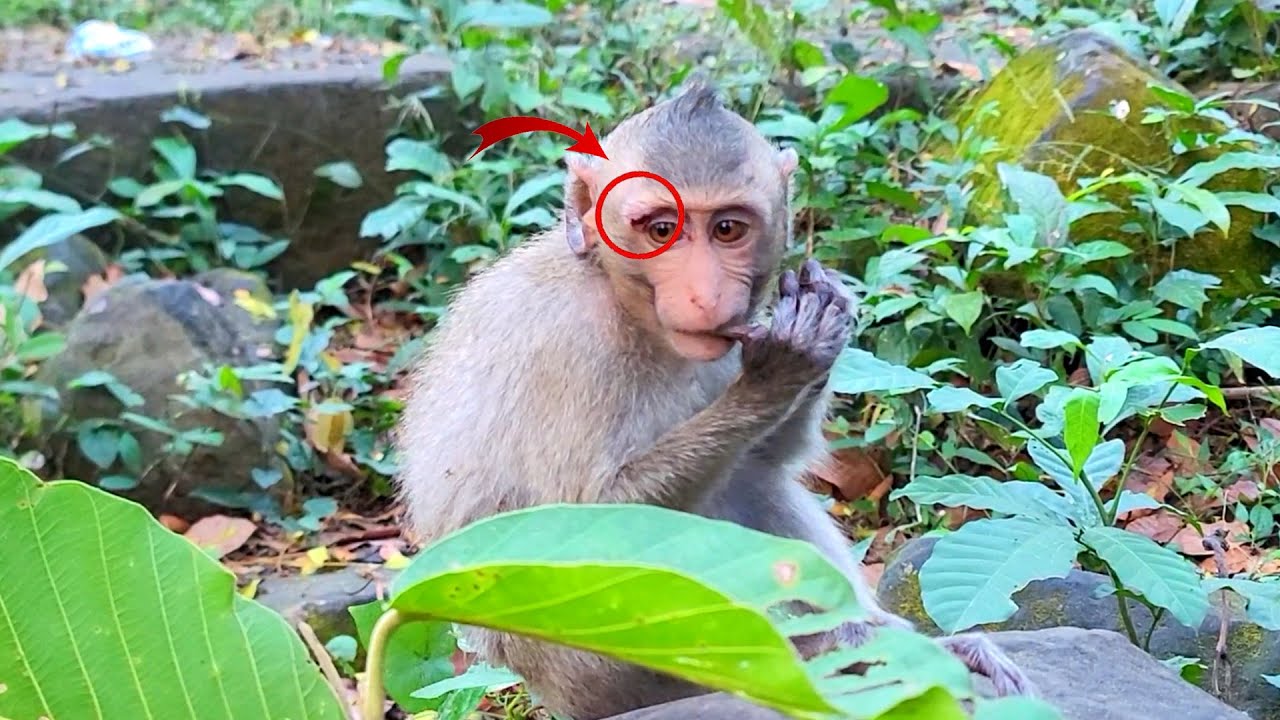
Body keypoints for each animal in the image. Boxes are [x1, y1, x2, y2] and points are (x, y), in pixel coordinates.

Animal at [393, 80, 1031, 720]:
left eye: (728, 229)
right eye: (659, 230)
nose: (704, 295)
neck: (626, 303)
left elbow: (766, 459)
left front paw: (825, 320)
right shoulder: (569, 346)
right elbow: (586, 520)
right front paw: (780, 370)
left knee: (749, 480)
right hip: (597, 660)